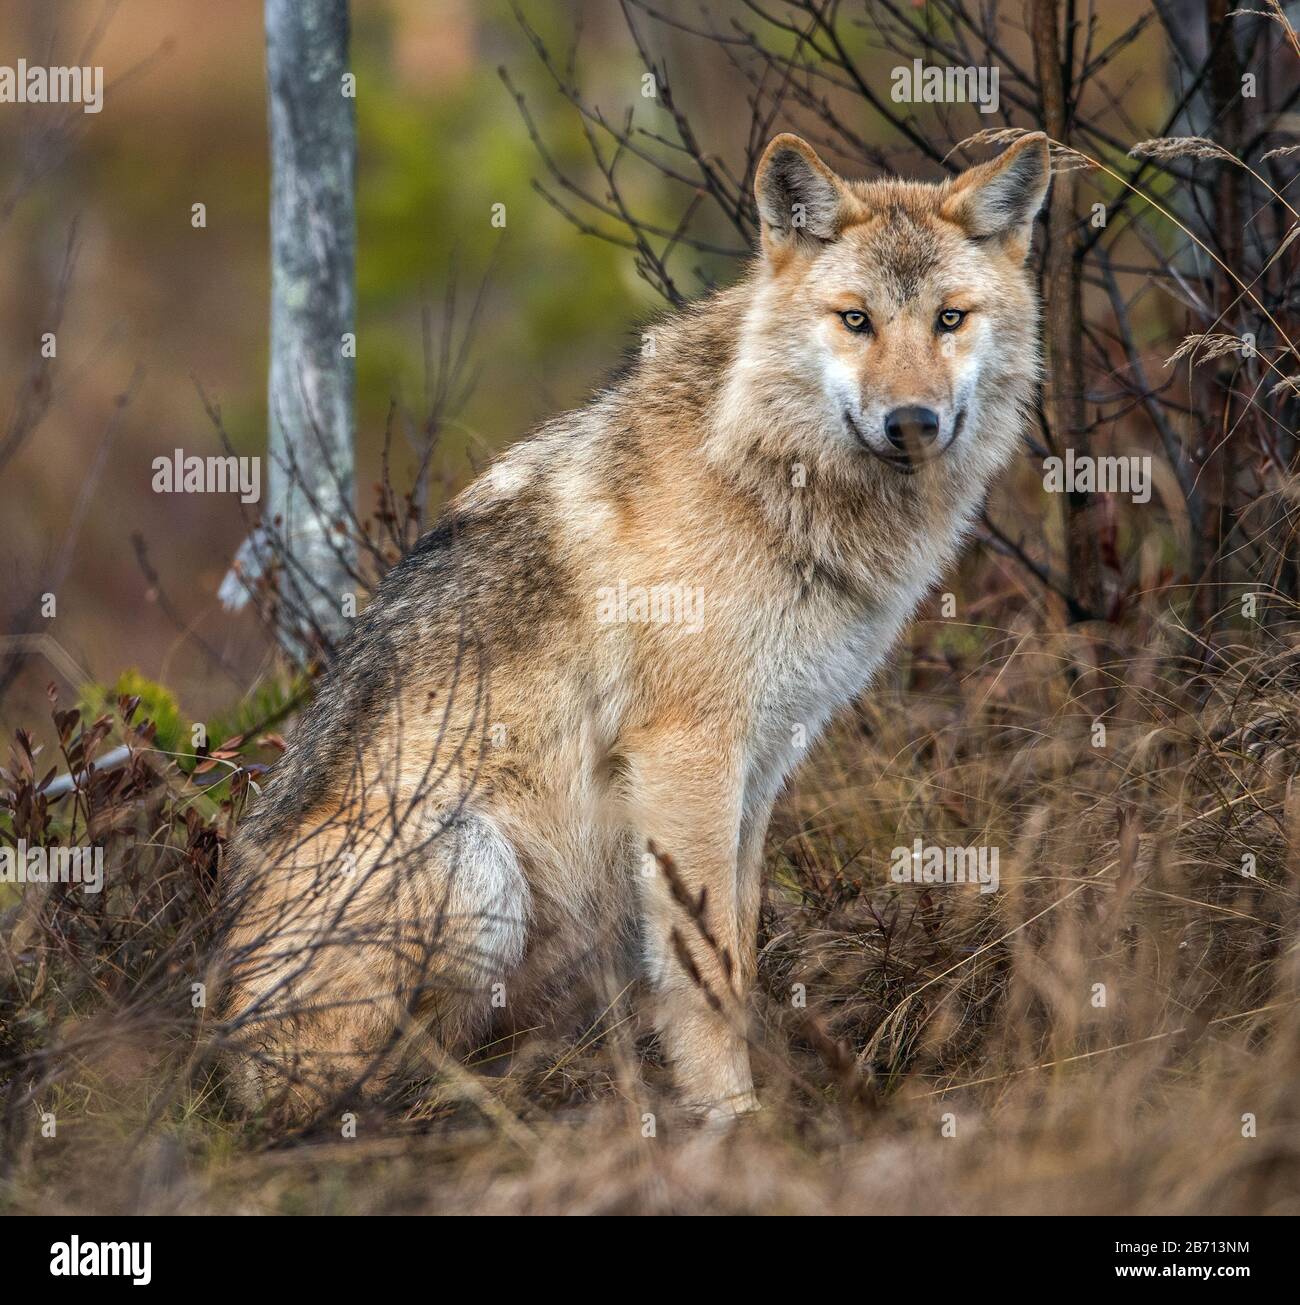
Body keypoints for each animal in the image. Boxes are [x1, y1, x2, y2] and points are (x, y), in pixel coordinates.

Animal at [218, 130, 1050, 1119]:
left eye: (950, 319)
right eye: (856, 321)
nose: (913, 420)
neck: (766, 478)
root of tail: (213, 1046)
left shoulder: (761, 764)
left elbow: (738, 942)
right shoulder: (687, 753)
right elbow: (704, 972)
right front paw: (734, 1118)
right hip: (475, 859)